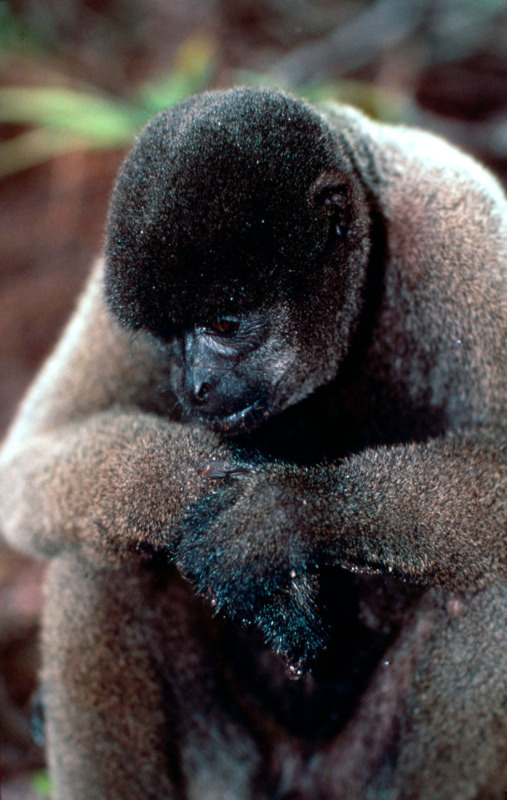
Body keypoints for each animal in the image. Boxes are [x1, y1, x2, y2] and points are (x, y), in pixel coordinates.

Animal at [0, 86, 506, 800]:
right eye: (167, 335)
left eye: (224, 323)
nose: (196, 385)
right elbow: (27, 463)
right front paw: (190, 482)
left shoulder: (461, 229)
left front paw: (280, 517)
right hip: (229, 770)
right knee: (99, 557)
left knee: (488, 585)